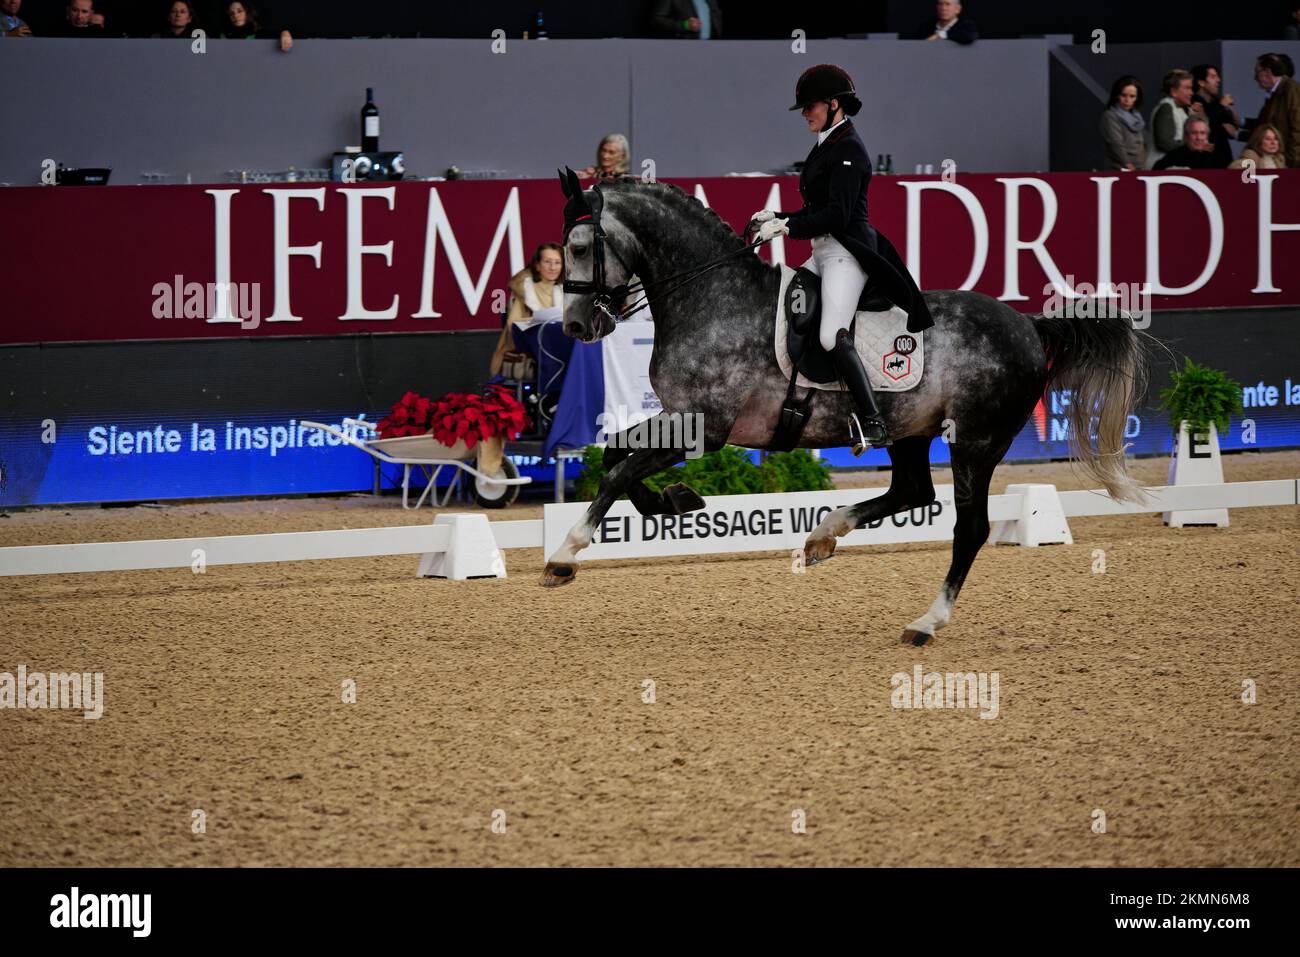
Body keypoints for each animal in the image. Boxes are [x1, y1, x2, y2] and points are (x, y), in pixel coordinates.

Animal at [541, 168, 1152, 645]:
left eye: (578, 248)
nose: (575, 326)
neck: (711, 298)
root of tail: (1028, 323)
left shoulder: (704, 429)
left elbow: (617, 472)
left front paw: (565, 554)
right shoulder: (683, 420)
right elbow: (615, 454)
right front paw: (674, 501)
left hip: (976, 441)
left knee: (970, 526)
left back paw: (925, 622)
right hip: (911, 430)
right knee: (913, 491)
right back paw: (823, 536)